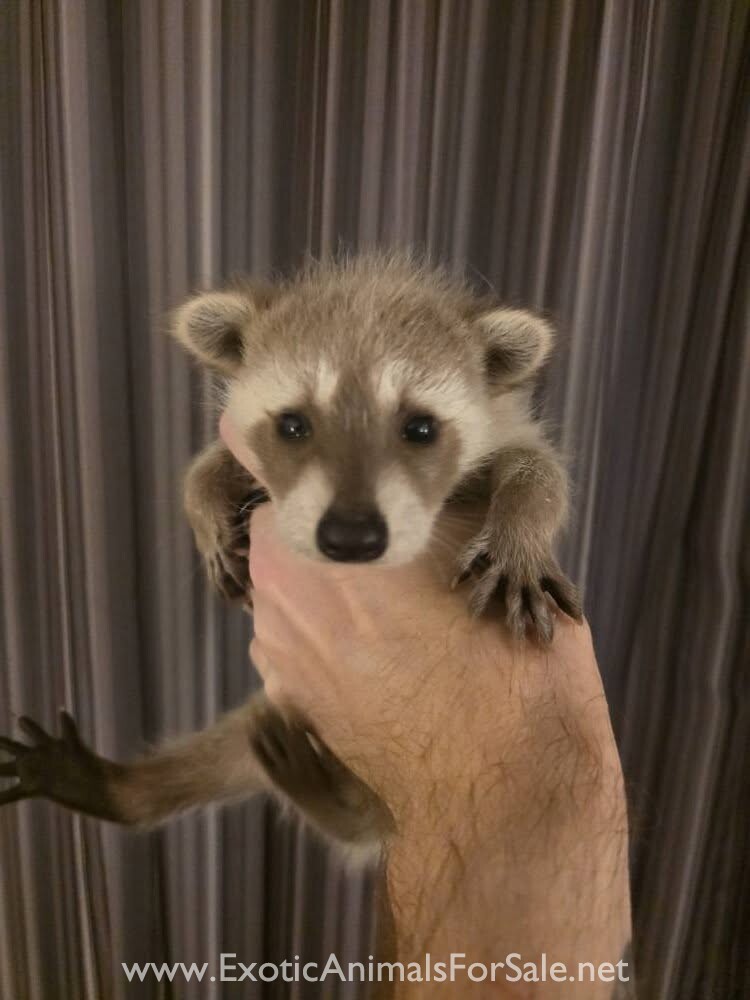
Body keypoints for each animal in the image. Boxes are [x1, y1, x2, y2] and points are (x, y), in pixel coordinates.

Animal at [0, 254, 581, 852]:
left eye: (420, 427)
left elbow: (541, 474)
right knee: (228, 753)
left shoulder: (508, 424)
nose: (351, 537)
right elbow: (205, 466)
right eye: (293, 424)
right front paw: (204, 506)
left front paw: (520, 534)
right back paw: (129, 789)